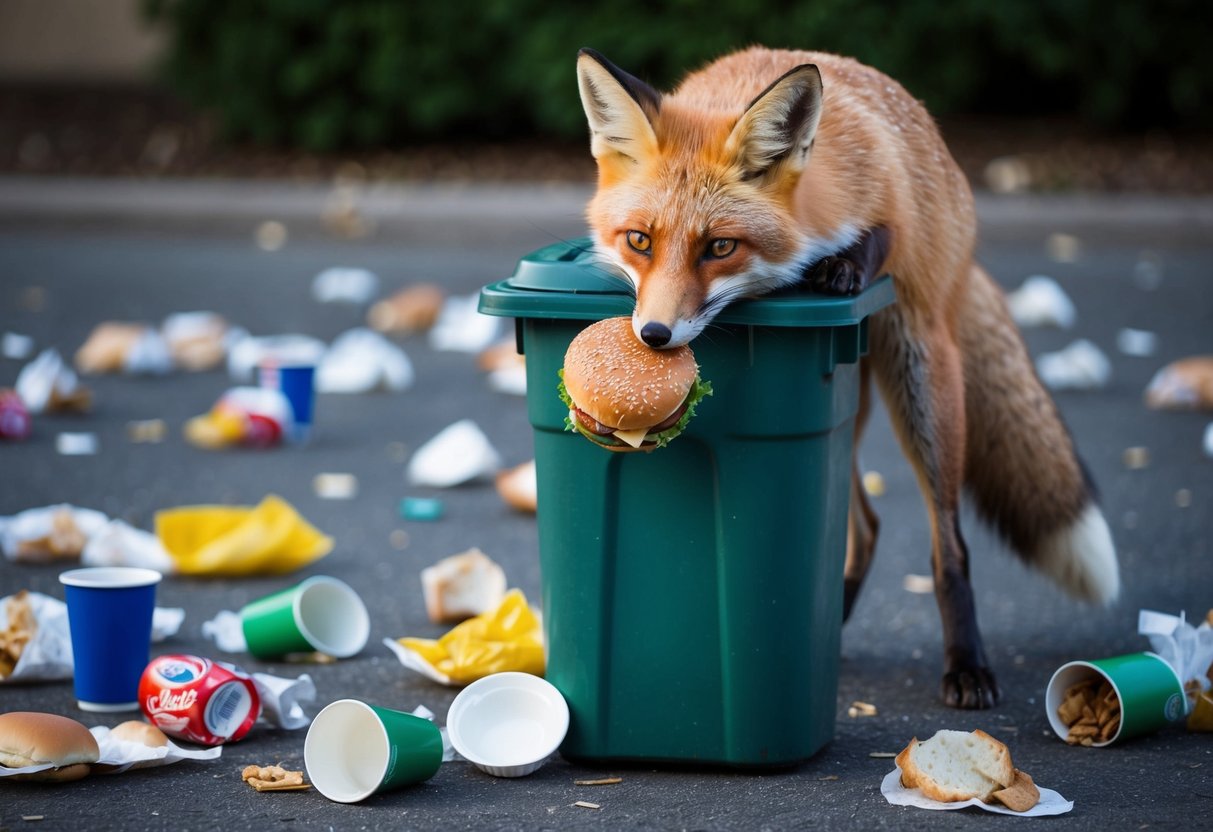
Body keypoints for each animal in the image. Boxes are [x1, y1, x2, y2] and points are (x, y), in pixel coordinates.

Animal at [575, 46, 1119, 709]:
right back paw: (827, 625)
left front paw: (844, 266)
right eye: (639, 241)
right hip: (856, 412)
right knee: (868, 524)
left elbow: (882, 233)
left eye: (720, 247)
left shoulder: (894, 207)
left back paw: (965, 664)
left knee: (948, 546)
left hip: (922, 380)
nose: (654, 336)